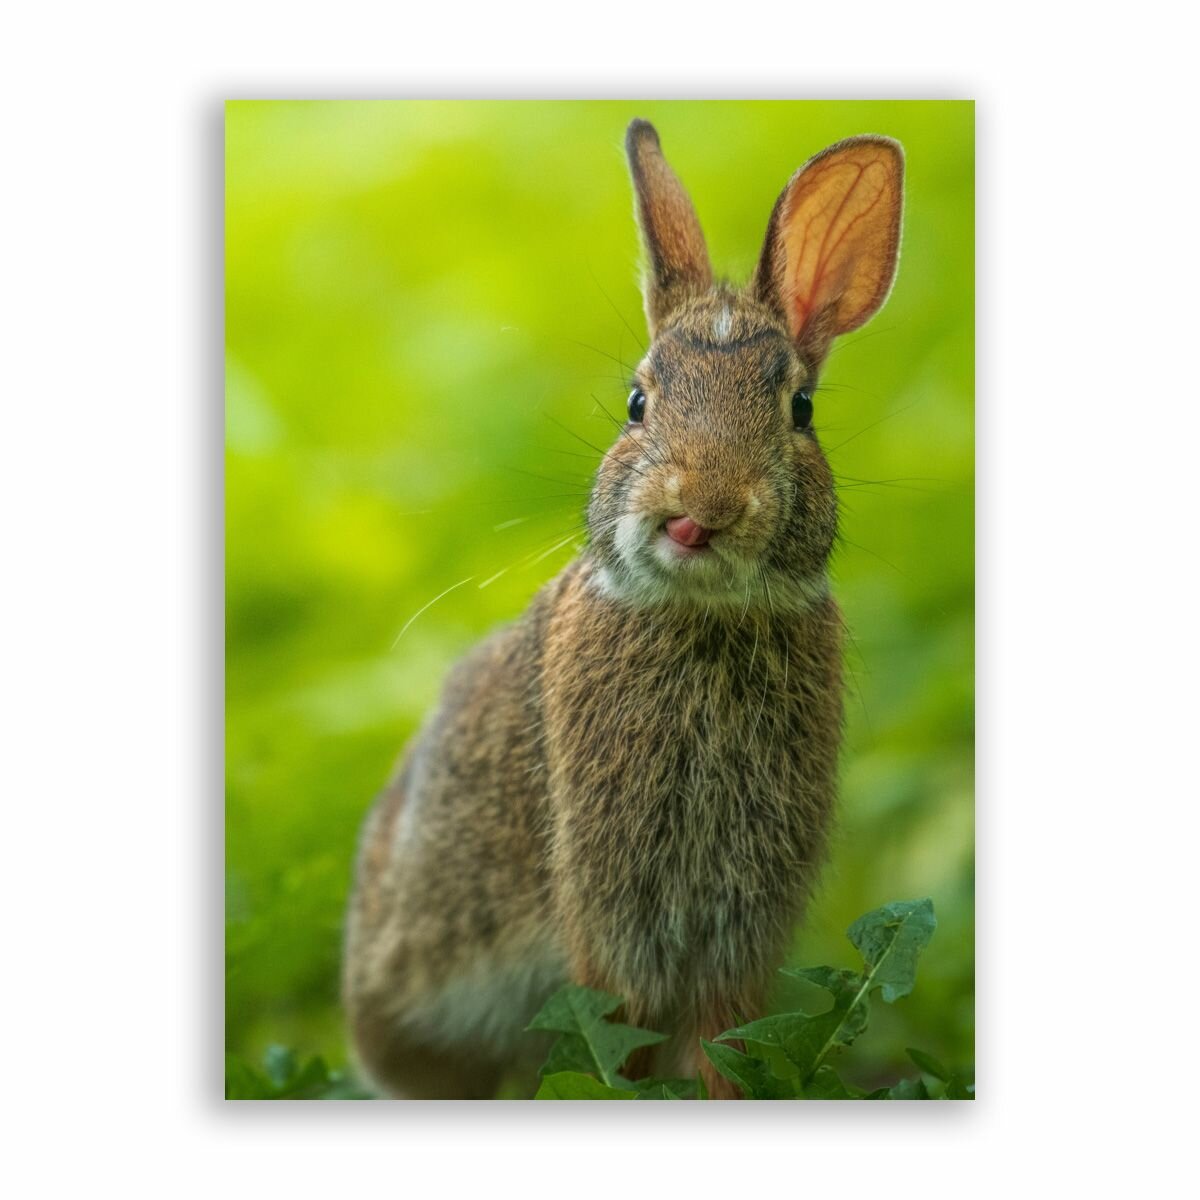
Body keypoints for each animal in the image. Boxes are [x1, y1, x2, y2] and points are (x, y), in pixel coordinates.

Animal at [343, 118, 904, 1099]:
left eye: (799, 409)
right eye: (638, 403)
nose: (700, 510)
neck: (702, 620)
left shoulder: (735, 932)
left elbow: (724, 1045)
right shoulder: (617, 917)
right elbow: (628, 1035)